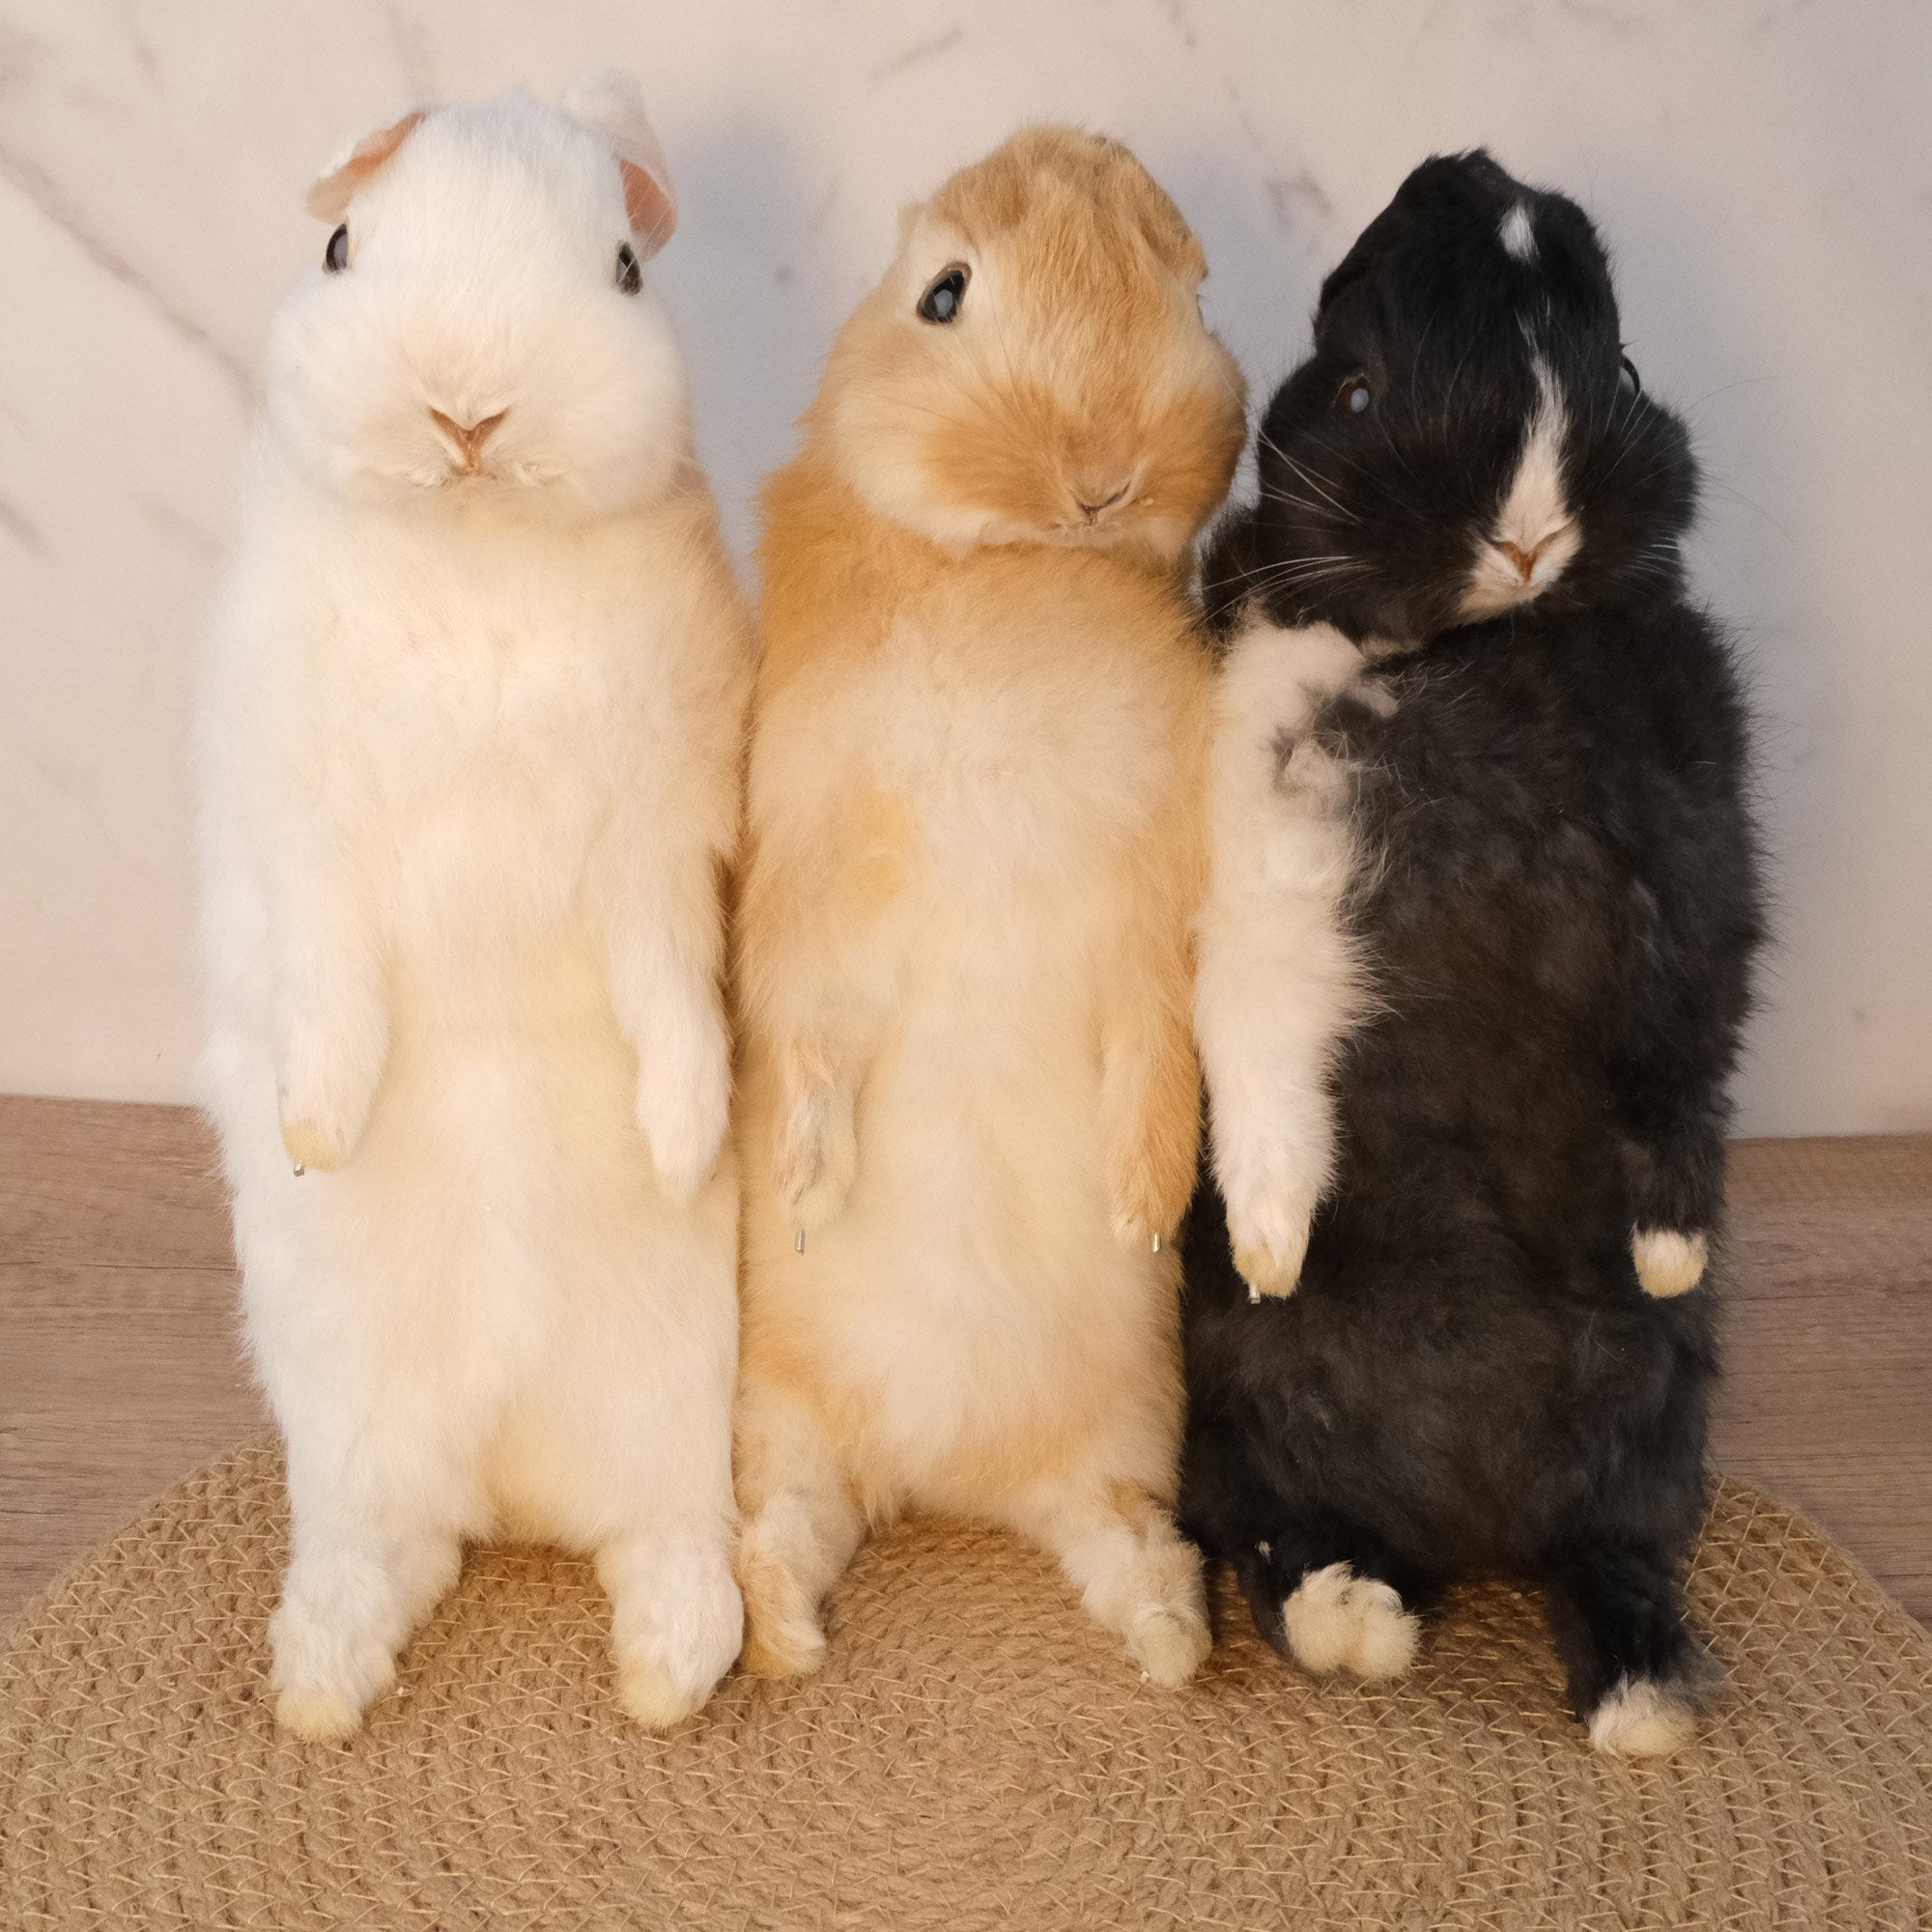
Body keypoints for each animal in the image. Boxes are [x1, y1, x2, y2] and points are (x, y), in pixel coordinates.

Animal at [195, 75, 754, 1740]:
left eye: (625, 273)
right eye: (340, 247)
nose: (469, 414)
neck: (476, 545)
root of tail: (511, 1473)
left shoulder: (658, 851)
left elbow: (669, 992)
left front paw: (683, 1144)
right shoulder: (310, 840)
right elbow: (330, 988)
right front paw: (321, 1129)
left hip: (672, 1401)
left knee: (669, 1540)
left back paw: (667, 1672)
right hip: (353, 1415)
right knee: (383, 1548)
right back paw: (318, 1684)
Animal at [731, 127, 1248, 1687]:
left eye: (1193, 297)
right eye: (943, 294)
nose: (1101, 476)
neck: (1016, 564)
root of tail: (947, 1474)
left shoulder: (1149, 932)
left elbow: (1160, 1058)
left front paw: (1144, 1205)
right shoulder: (812, 903)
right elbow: (816, 1042)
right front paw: (807, 1187)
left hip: (1127, 1443)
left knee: (1115, 1537)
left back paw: (1172, 1641)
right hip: (777, 1415)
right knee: (780, 1525)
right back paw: (784, 1639)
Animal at [1180, 150, 1766, 1754]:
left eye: (1617, 369)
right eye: (1359, 386)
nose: (1528, 537)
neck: (1474, 646)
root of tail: (1471, 1527)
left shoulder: (1690, 844)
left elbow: (1689, 1039)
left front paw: (1675, 1248)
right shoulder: (1272, 838)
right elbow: (1258, 1042)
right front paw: (1268, 1244)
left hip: (1652, 1418)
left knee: (1609, 1556)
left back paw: (1641, 1705)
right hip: (1241, 1410)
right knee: (1281, 1537)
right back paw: (1357, 1622)